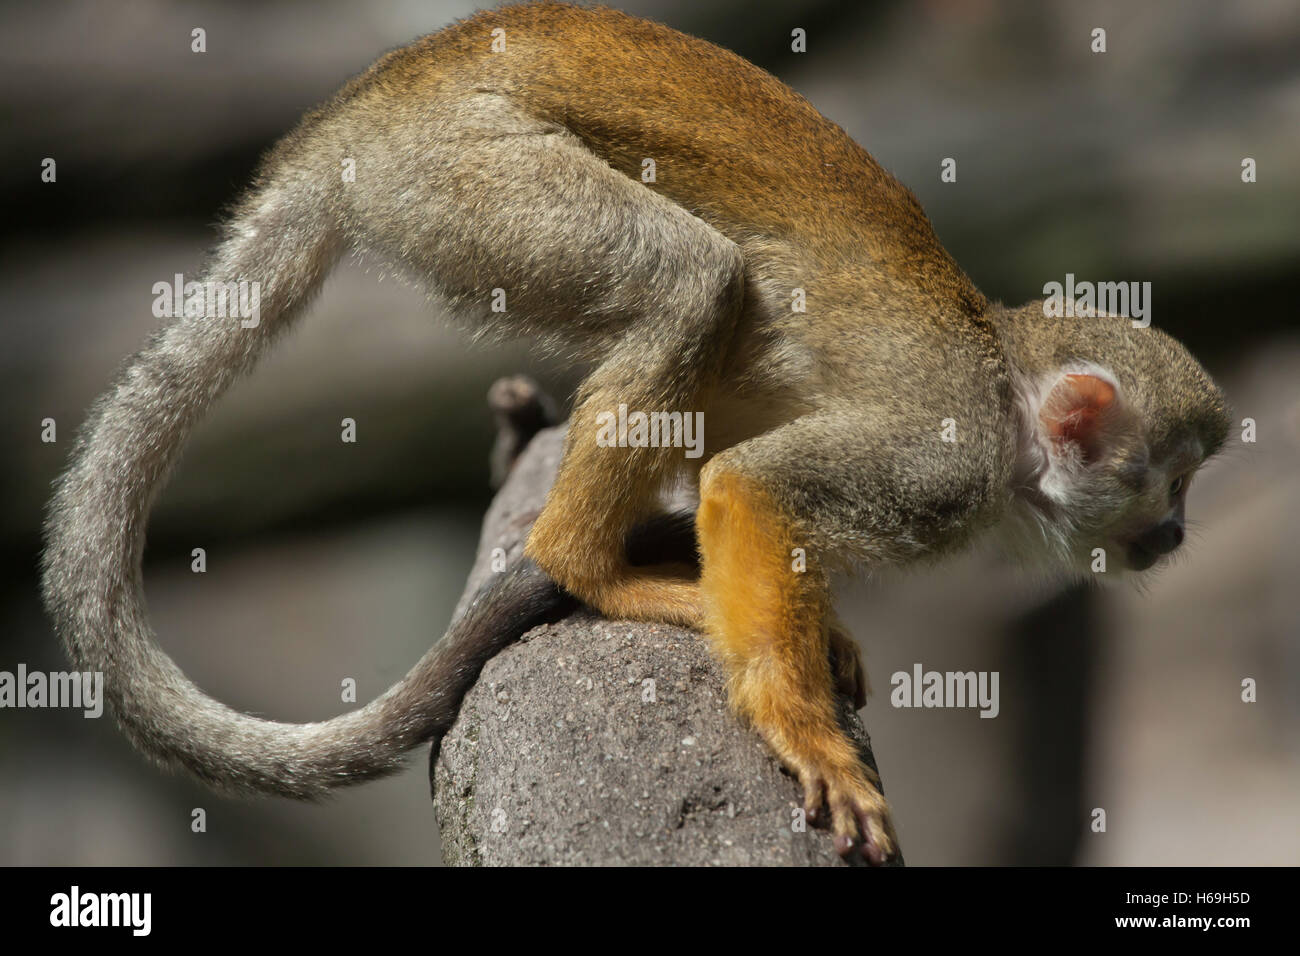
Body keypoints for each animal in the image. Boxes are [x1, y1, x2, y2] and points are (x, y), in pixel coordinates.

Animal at [41, 1, 1231, 865]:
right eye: (1170, 481)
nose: (1176, 534)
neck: (1009, 404)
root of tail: (344, 122)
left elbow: (724, 459)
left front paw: (823, 621)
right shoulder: (945, 462)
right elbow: (753, 483)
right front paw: (799, 722)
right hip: (461, 175)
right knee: (691, 280)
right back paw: (587, 566)